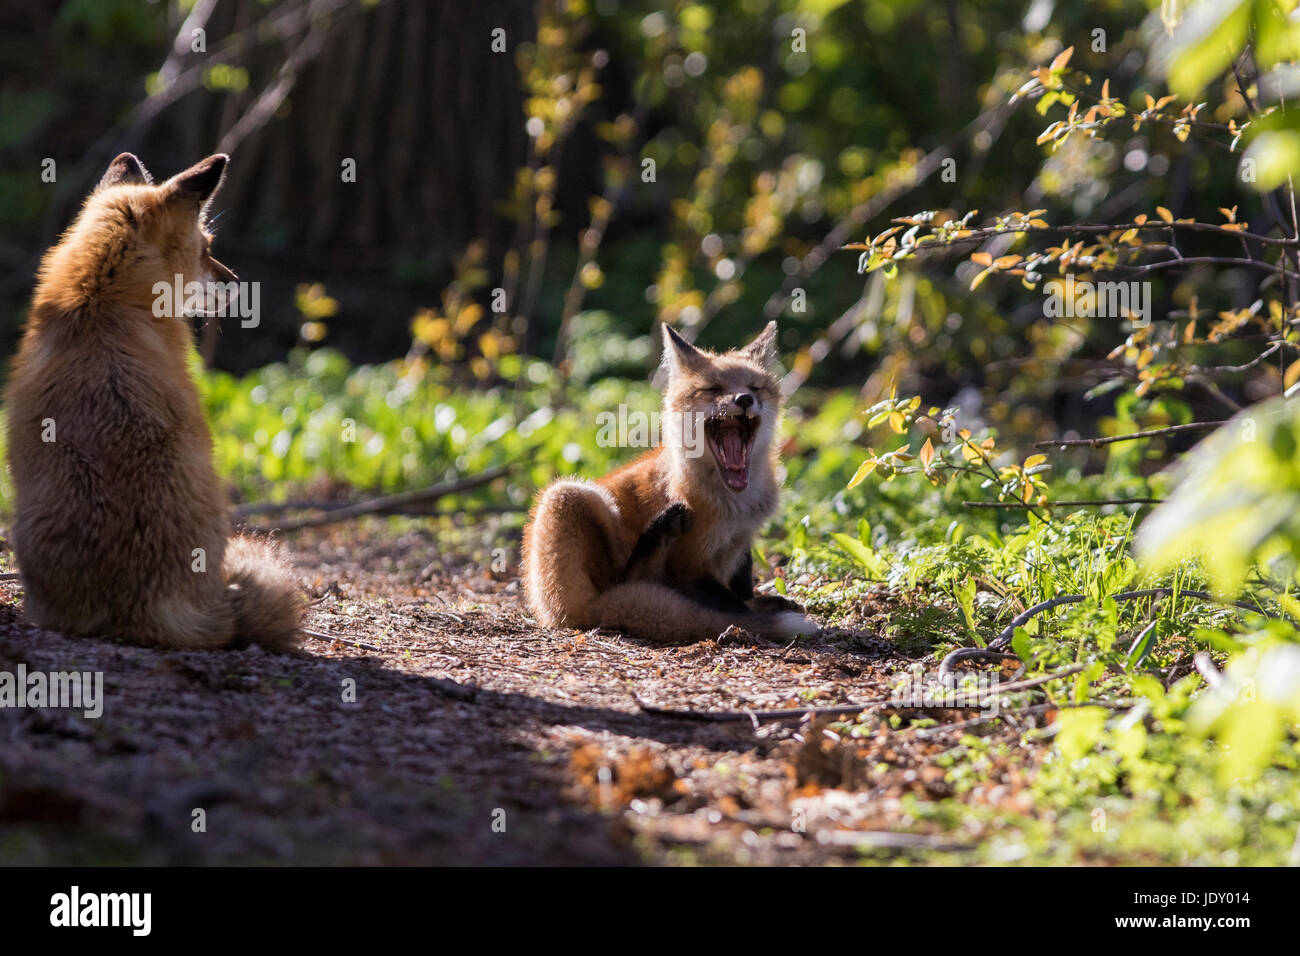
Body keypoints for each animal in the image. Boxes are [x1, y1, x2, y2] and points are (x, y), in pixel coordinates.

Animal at [523, 320, 816, 642]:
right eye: (713, 389)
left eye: (754, 387)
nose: (745, 400)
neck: (734, 505)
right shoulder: (690, 566)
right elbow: (735, 607)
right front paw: (752, 617)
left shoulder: (742, 540)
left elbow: (743, 591)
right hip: (568, 496)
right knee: (625, 586)